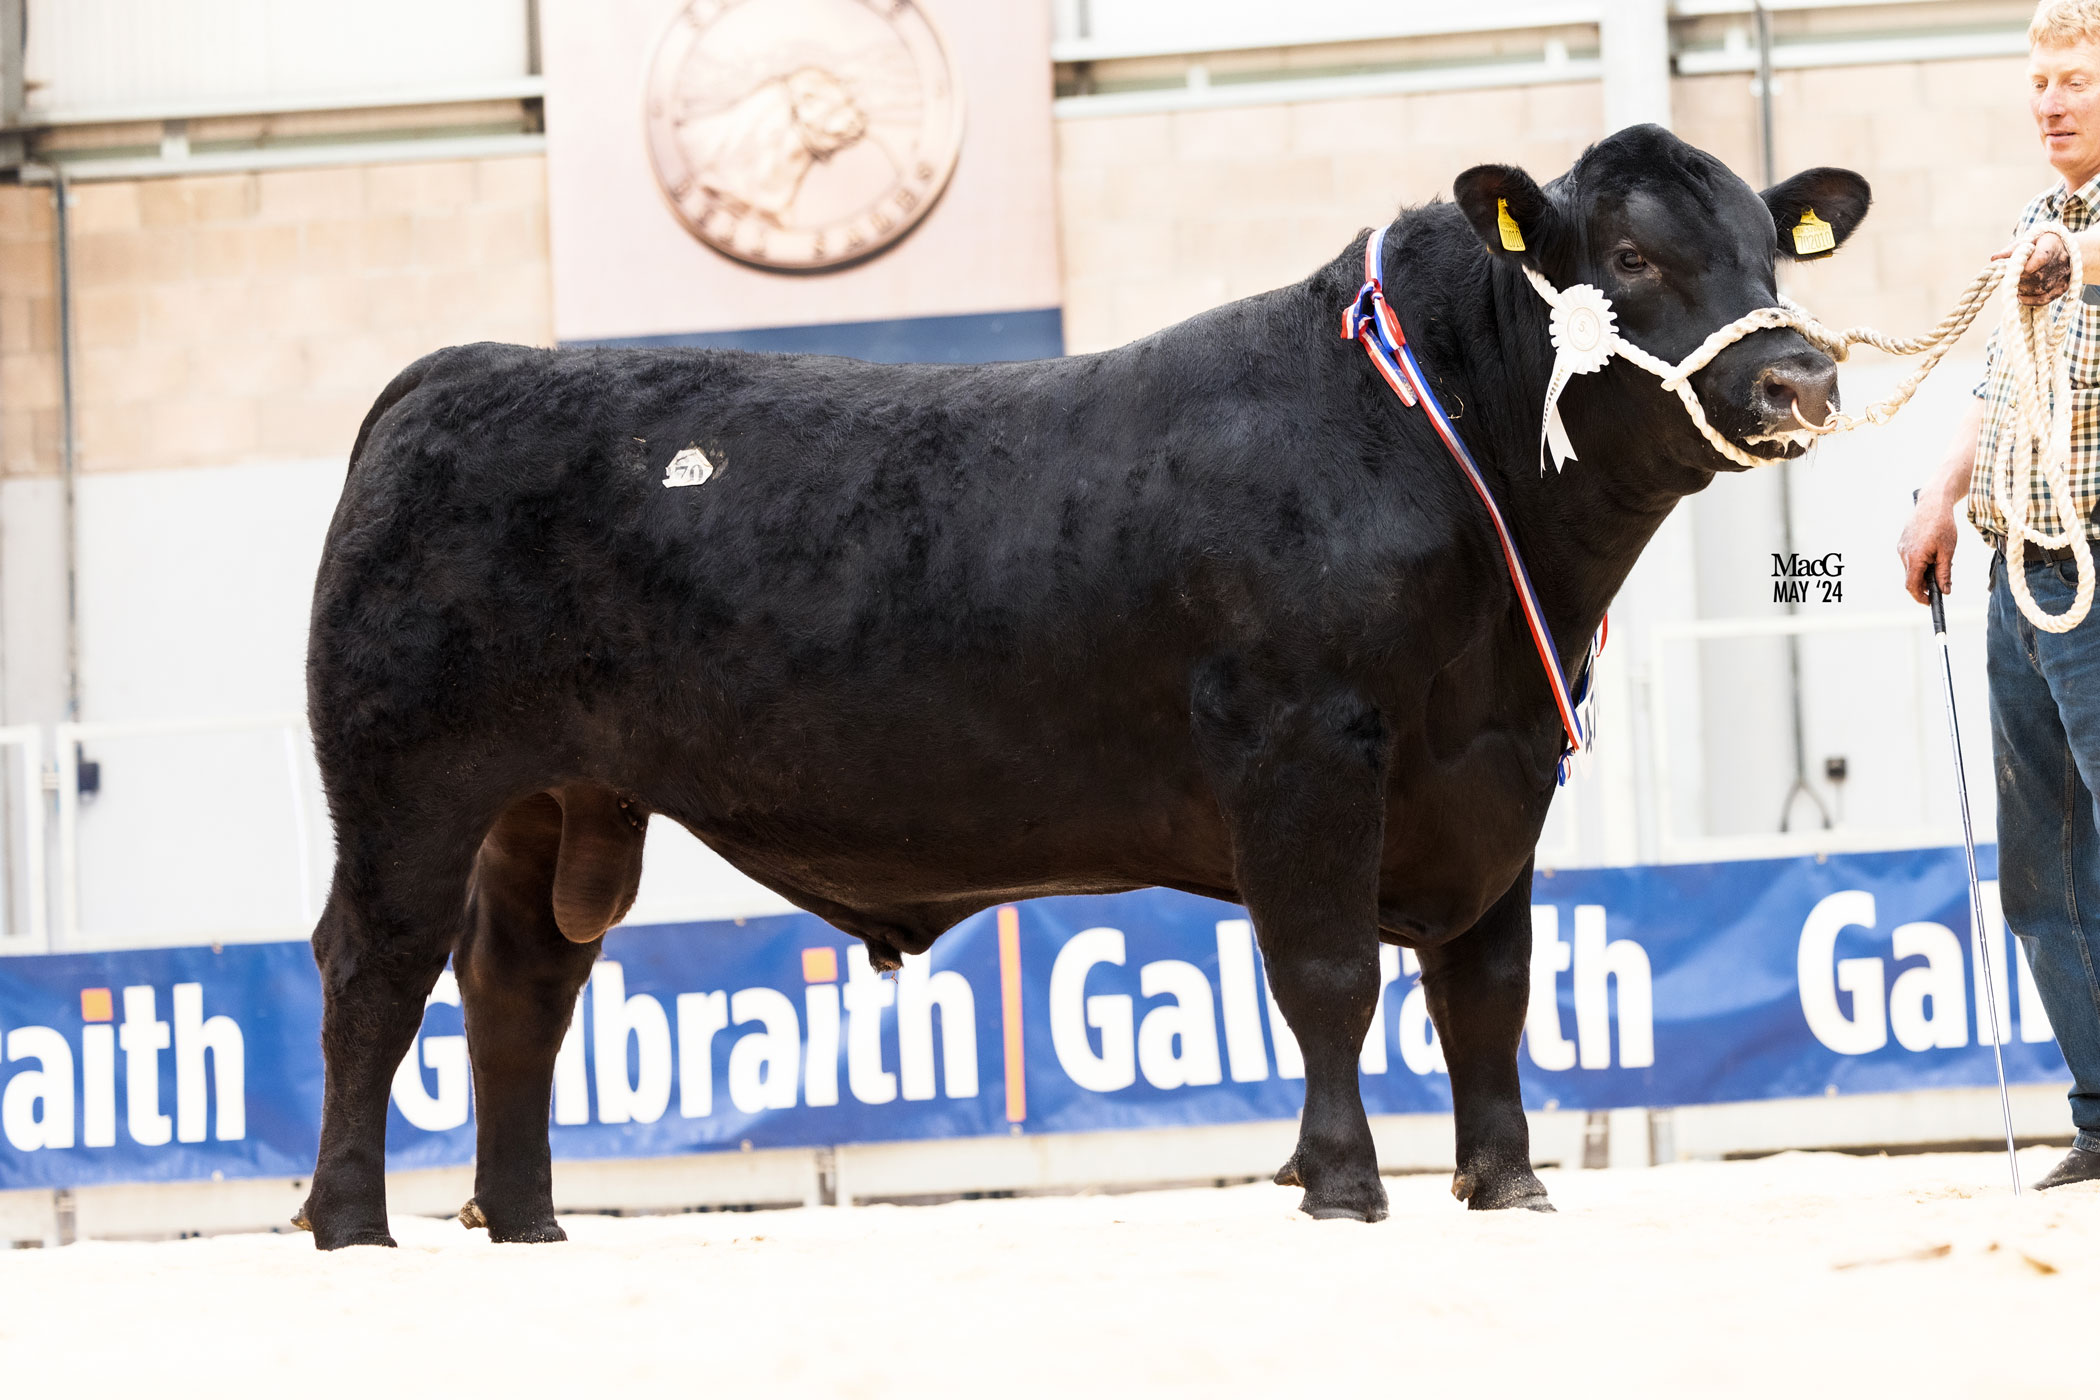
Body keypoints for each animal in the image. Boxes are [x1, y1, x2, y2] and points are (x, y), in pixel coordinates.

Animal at [294, 124, 1869, 1248]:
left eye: (1773, 255)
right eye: (1632, 255)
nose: (1801, 376)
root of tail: (457, 373)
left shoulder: (1500, 772)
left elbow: (1486, 990)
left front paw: (1509, 1187)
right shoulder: (1305, 750)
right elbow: (1330, 974)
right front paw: (1343, 1184)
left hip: (556, 795)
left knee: (520, 983)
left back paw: (527, 1224)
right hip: (407, 780)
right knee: (377, 969)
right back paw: (352, 1220)